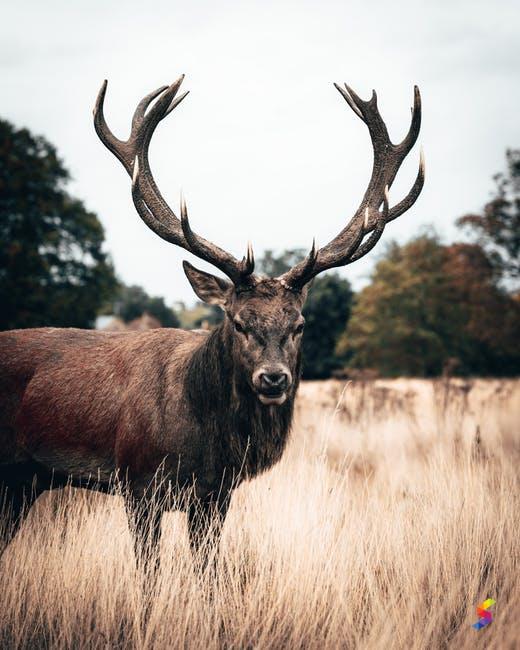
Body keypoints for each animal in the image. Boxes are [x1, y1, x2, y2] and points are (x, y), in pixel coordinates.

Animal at [0, 75, 424, 569]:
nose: (273, 378)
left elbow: (207, 571)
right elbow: (149, 573)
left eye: (299, 324)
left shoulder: (215, 495)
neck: (206, 441)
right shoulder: (138, 483)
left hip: (22, 481)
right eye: (239, 322)